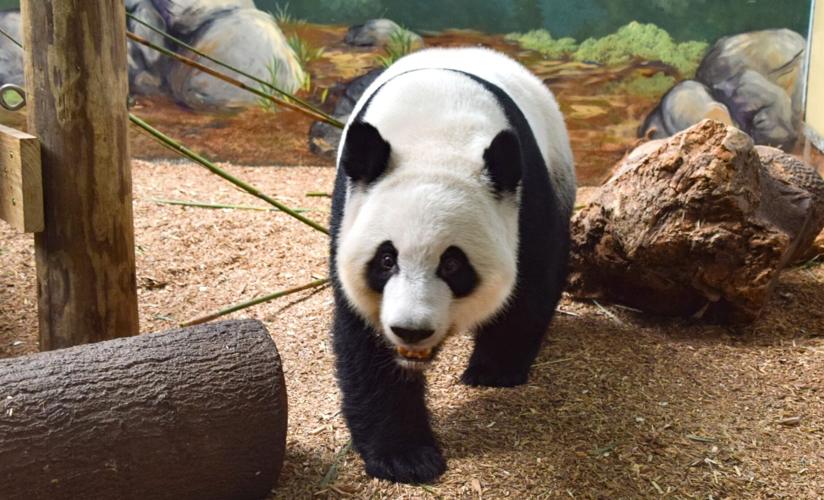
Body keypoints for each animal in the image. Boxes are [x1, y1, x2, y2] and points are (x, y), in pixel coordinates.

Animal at [329, 47, 576, 484]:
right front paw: (405, 457)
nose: (411, 330)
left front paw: (494, 371)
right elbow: (364, 340)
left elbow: (532, 278)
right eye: (386, 260)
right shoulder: (350, 210)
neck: (434, 138)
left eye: (453, 265)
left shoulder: (524, 193)